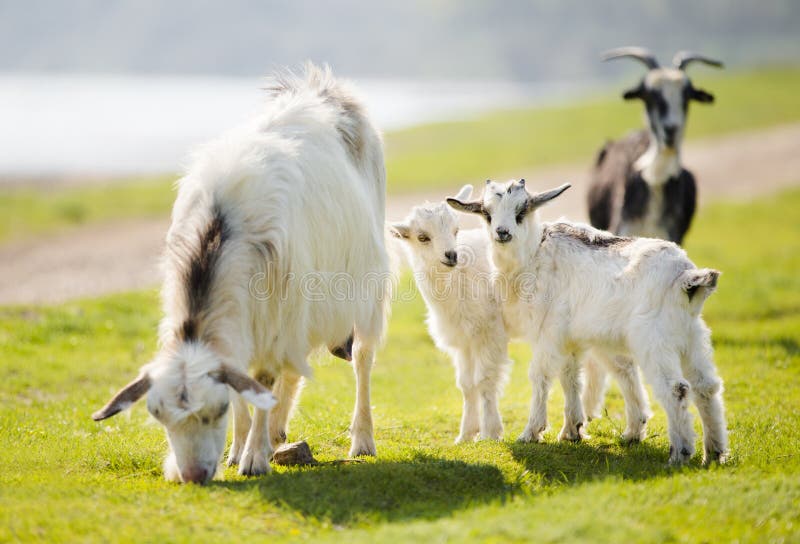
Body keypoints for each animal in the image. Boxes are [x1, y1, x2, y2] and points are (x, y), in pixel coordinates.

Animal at [92, 64, 390, 483]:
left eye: (213, 411)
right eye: (158, 414)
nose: (194, 475)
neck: (220, 229)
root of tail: (323, 86)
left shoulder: (275, 314)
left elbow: (261, 379)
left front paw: (253, 459)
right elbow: (248, 384)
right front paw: (239, 448)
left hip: (365, 288)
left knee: (362, 359)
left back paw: (361, 440)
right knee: (295, 365)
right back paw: (277, 429)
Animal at [390, 185, 511, 442]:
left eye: (456, 230)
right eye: (422, 237)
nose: (451, 255)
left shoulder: (490, 331)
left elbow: (485, 380)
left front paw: (489, 433)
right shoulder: (463, 338)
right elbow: (466, 384)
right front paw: (465, 434)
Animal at [449, 179, 728, 464]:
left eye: (521, 210)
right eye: (487, 213)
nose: (502, 232)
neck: (534, 255)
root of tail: (685, 277)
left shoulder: (547, 332)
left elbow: (540, 375)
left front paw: (531, 433)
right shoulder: (569, 339)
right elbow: (570, 376)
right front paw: (571, 431)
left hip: (654, 341)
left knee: (677, 389)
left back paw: (679, 455)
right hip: (692, 336)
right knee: (706, 387)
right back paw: (713, 453)